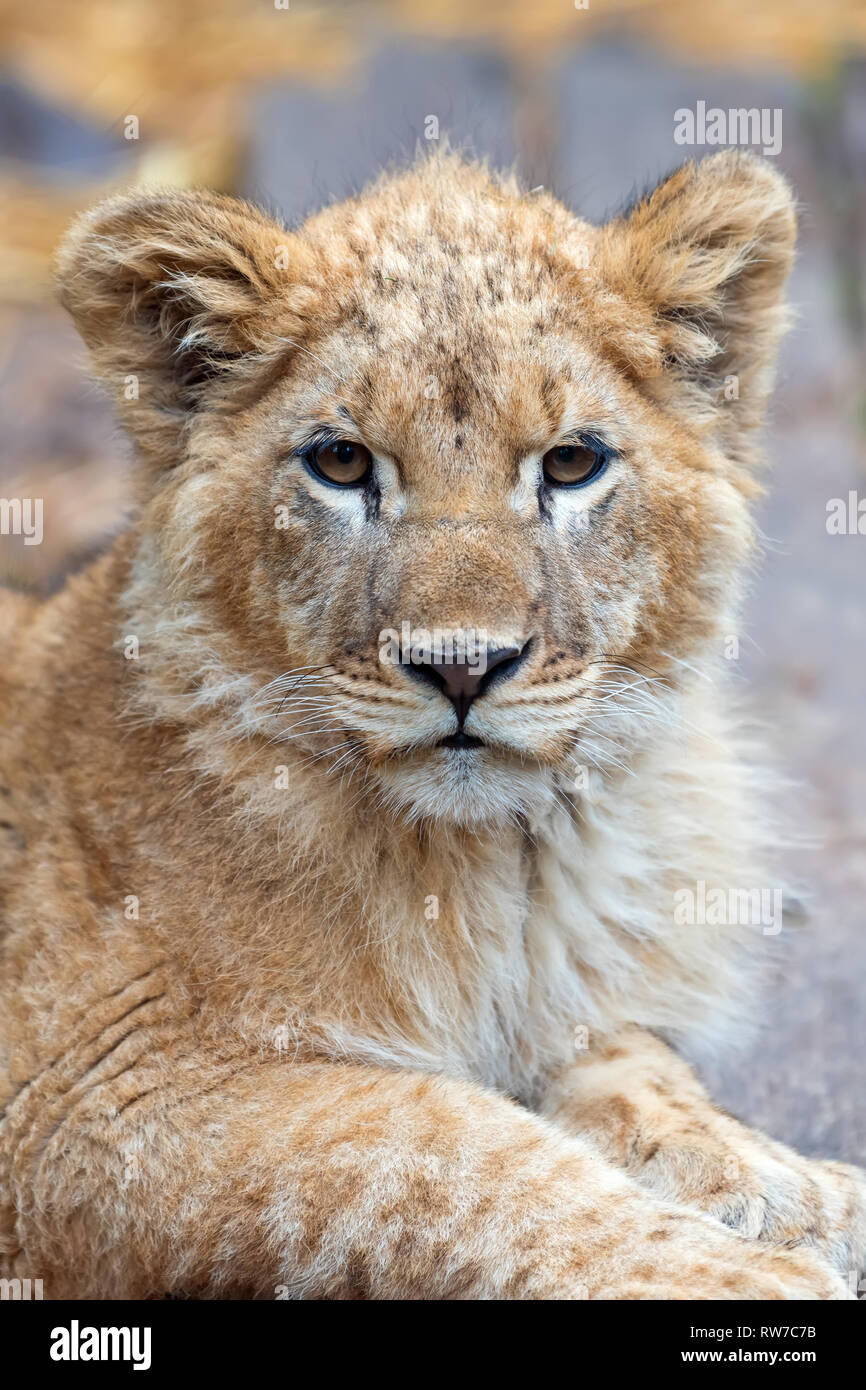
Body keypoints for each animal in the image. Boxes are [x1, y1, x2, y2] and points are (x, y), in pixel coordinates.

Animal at [0, 150, 863, 1299]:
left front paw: (796, 1188)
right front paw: (739, 1274)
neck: (501, 867)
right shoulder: (96, 1091)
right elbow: (455, 1147)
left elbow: (638, 1072)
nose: (463, 666)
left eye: (572, 463)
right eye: (341, 463)